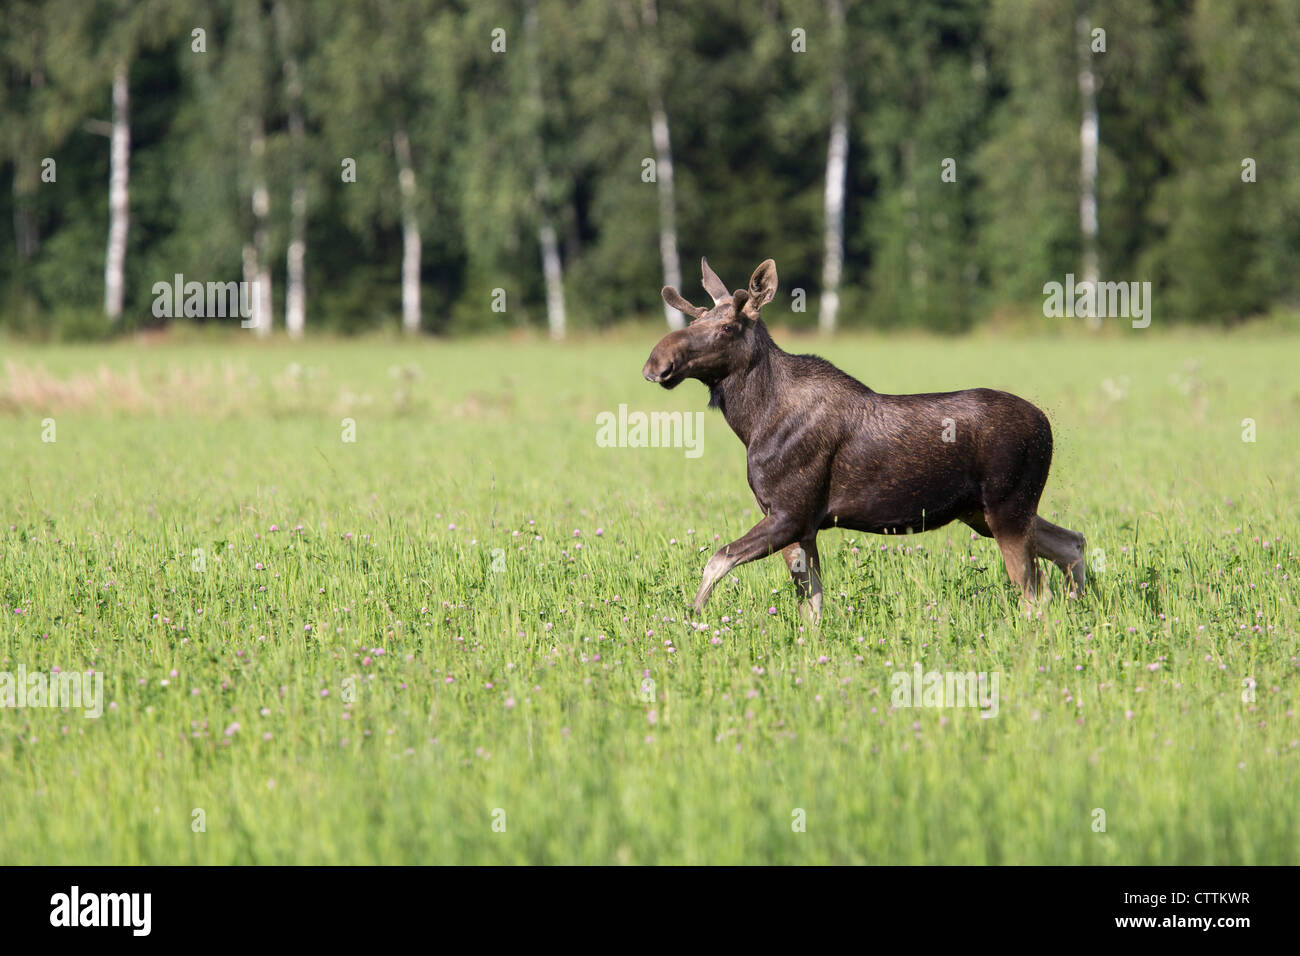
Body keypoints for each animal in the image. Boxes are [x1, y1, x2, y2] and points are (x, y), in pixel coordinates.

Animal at [642, 257, 1087, 622]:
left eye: (727, 326)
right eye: (693, 322)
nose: (656, 363)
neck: (752, 423)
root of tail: (1045, 425)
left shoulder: (790, 514)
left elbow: (717, 560)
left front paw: (692, 616)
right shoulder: (801, 525)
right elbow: (813, 607)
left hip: (1006, 507)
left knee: (1036, 592)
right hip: (983, 512)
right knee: (1072, 542)